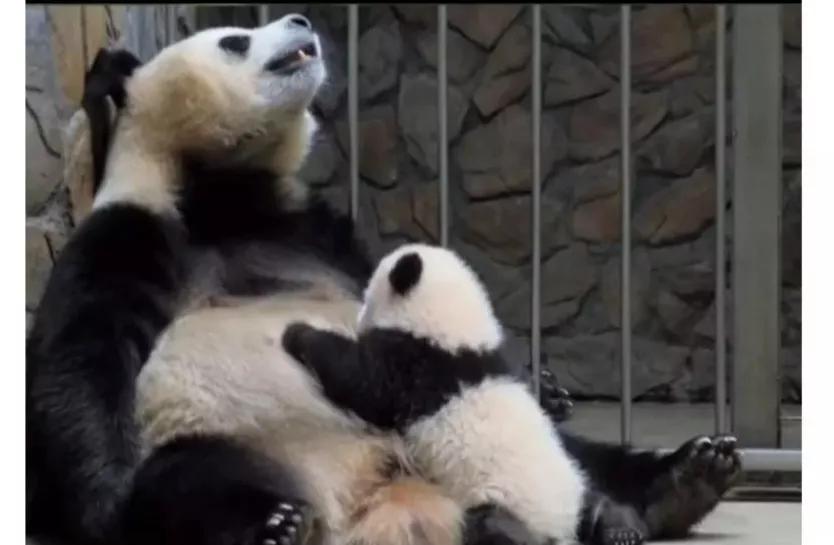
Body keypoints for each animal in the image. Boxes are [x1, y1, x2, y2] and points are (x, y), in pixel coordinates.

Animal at [281, 242, 587, 545]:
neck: (453, 332)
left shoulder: (414, 367)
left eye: (367, 299)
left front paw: (297, 333)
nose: (357, 320)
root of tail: (561, 527)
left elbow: (362, 382)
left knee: (493, 525)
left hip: (504, 503)